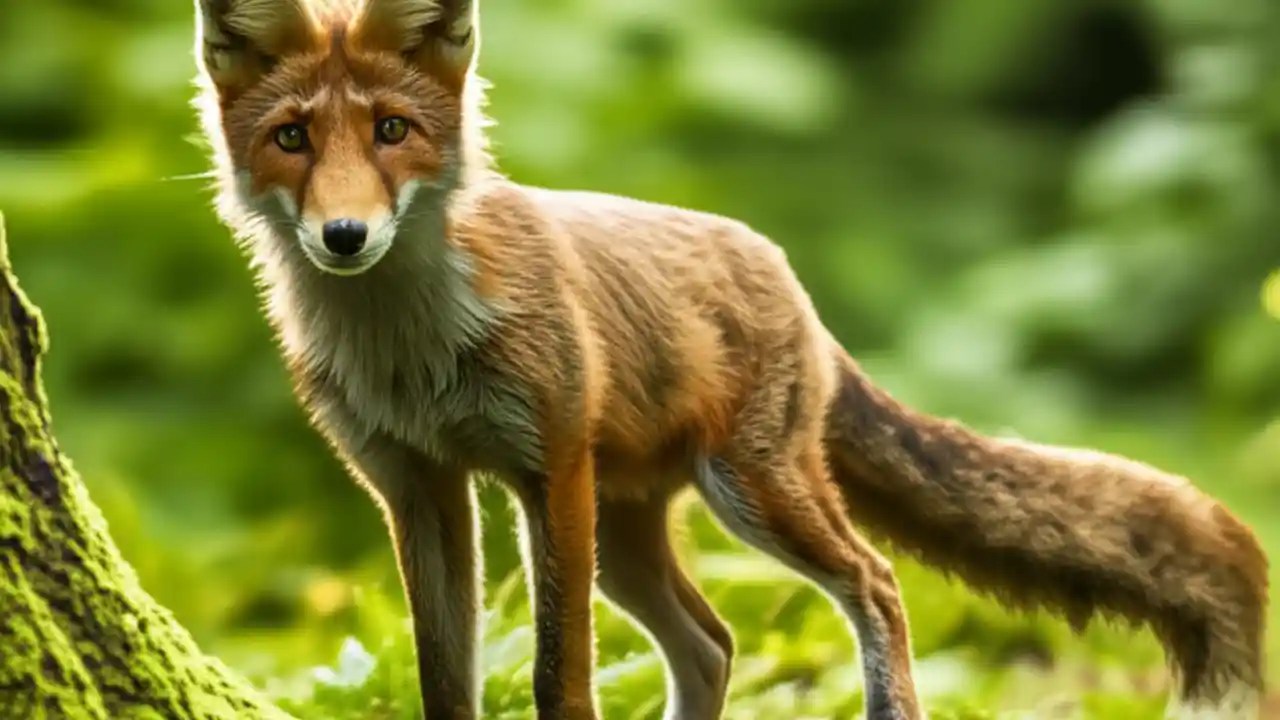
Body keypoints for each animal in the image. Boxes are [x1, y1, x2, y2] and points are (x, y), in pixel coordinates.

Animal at [192, 0, 1268, 718]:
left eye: (392, 132)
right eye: (291, 138)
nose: (343, 236)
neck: (408, 348)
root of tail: (781, 271)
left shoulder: (547, 468)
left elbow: (558, 673)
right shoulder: (416, 487)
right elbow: (443, 676)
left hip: (745, 493)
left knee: (873, 584)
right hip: (629, 536)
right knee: (711, 645)